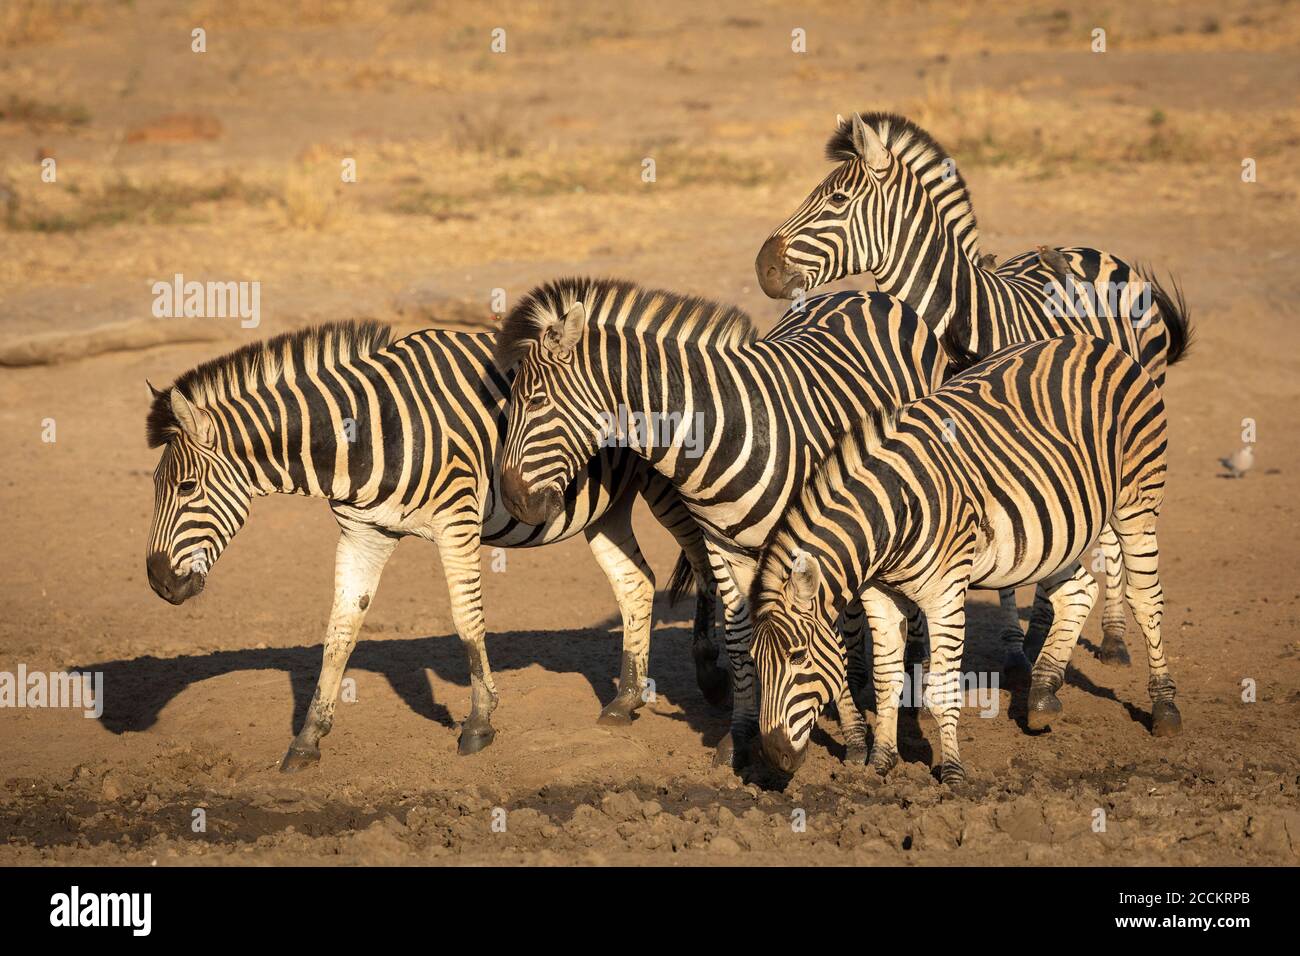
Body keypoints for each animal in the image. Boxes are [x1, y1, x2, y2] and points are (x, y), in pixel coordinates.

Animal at [143, 321, 722, 771]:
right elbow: (339, 632)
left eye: (187, 488)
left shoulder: (456, 524)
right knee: (636, 583)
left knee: (705, 564)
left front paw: (479, 724)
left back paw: (710, 674)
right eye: (155, 486)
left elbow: (467, 622)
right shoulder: (363, 534)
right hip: (609, 505)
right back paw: (625, 699)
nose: (158, 582)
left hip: (677, 485)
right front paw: (307, 739)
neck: (368, 434)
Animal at [492, 277, 946, 768]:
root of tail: (865, 294)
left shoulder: (809, 543)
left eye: (536, 401)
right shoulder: (724, 550)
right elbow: (741, 638)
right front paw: (739, 737)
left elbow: (825, 637)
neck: (721, 433)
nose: (514, 501)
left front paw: (856, 737)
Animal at [751, 335, 1181, 783]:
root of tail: (1090, 341)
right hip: (1059, 527)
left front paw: (952, 773)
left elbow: (941, 692)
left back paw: (1164, 709)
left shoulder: (945, 596)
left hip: (1137, 501)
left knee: (1145, 599)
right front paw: (881, 761)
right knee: (1078, 592)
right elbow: (886, 680)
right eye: (754, 662)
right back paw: (1042, 696)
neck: (894, 510)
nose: (774, 756)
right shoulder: (879, 596)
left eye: (798, 657)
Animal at [755, 111, 1192, 678]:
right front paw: (1008, 646)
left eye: (837, 200)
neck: (966, 320)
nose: (763, 267)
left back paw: (1114, 636)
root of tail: (1096, 251)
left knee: (1116, 534)